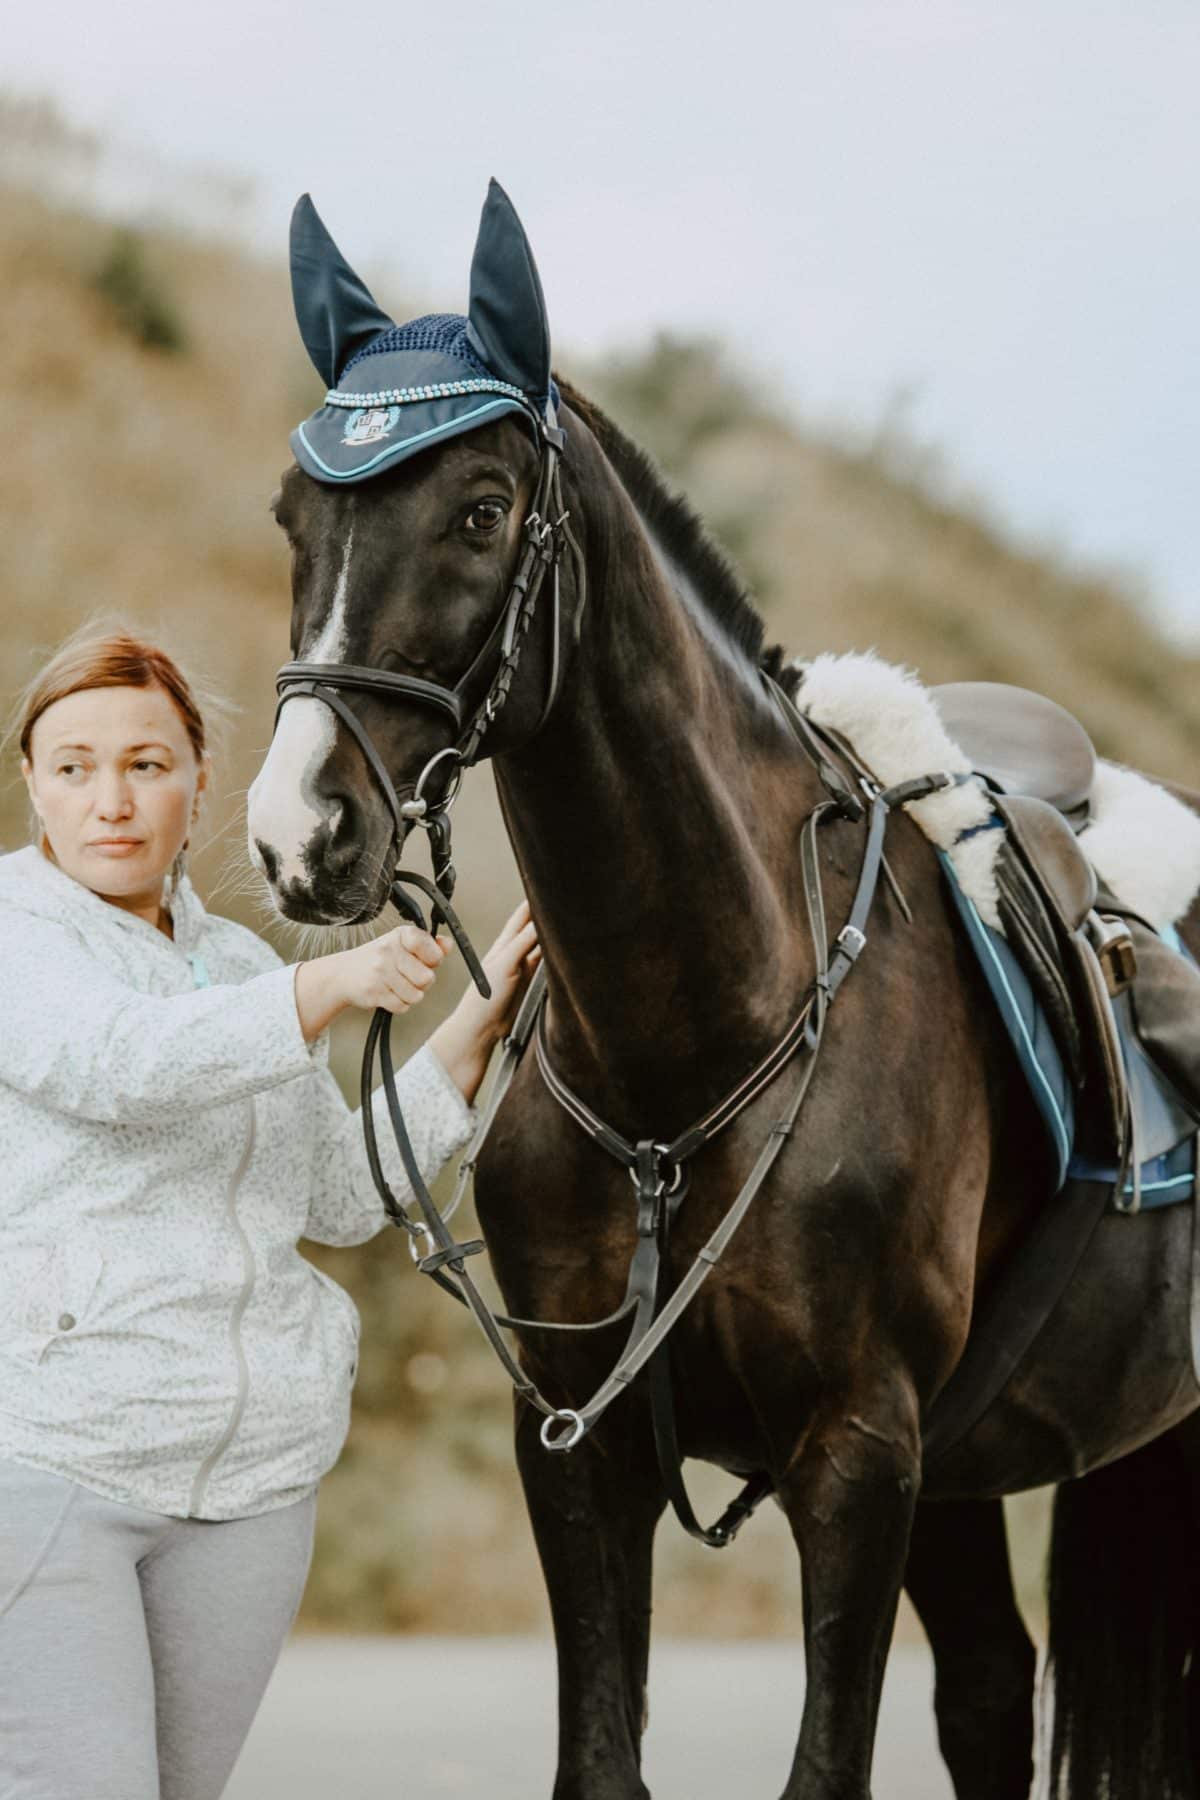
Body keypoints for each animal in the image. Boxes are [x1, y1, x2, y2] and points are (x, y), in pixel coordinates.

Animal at [247, 188, 1200, 1800]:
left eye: (483, 511)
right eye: (292, 516)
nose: (298, 832)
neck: (688, 1056)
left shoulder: (858, 1460)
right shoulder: (582, 1450)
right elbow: (601, 1757)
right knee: (990, 1694)